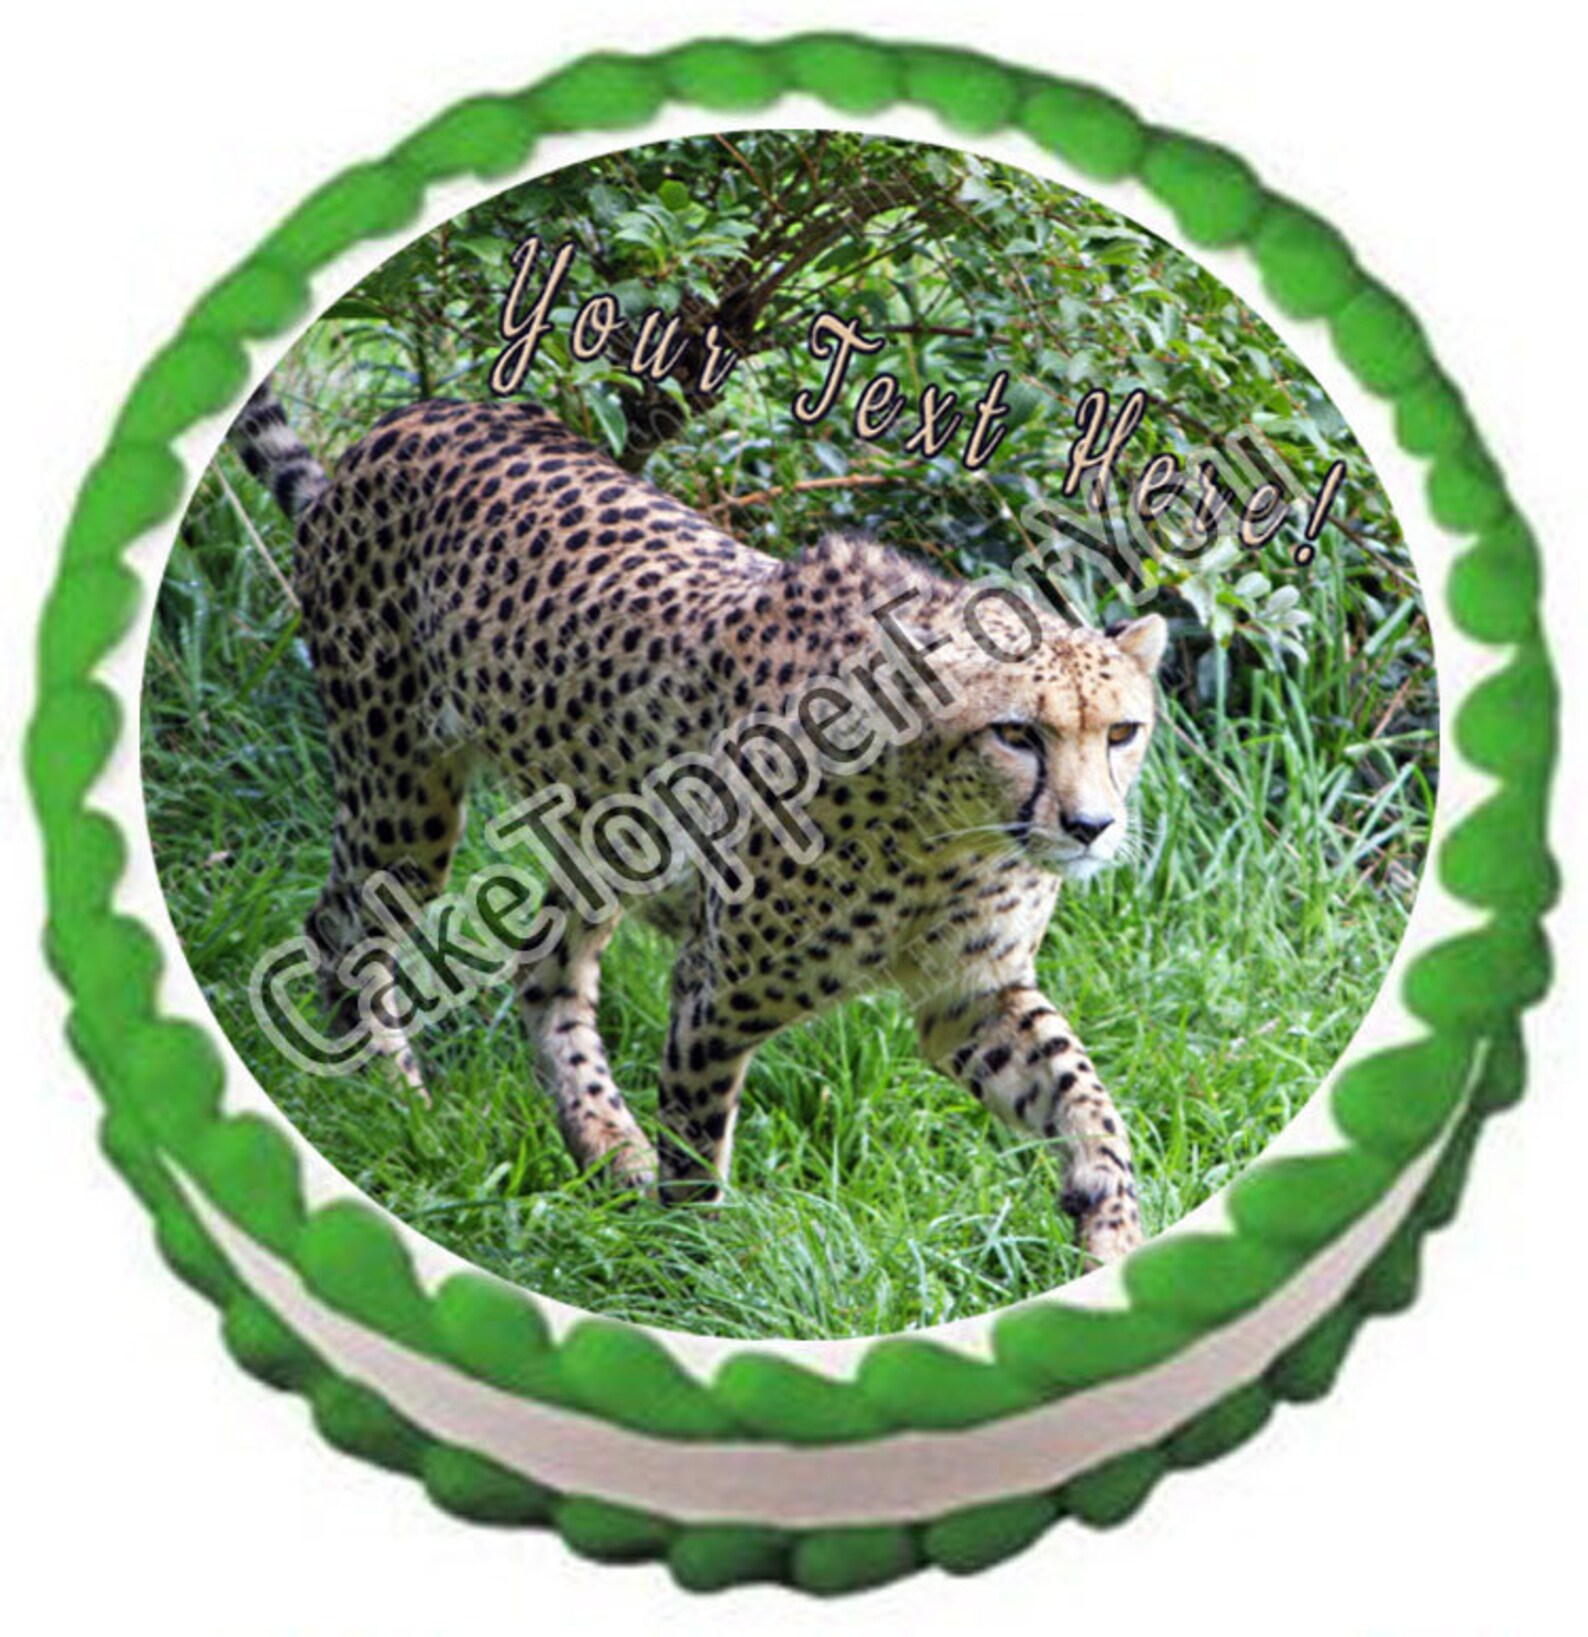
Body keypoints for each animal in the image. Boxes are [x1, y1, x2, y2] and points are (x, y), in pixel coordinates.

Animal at [228, 381, 1168, 1263]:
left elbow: (1084, 1090)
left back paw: (607, 1142)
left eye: (1122, 732)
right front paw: (692, 1266)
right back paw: (387, 1090)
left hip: (600, 832)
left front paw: (1111, 1220)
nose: (1090, 826)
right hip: (402, 796)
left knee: (543, 969)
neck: (950, 837)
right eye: (1017, 734)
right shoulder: (717, 992)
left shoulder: (968, 995)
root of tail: (399, 428)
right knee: (338, 925)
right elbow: (697, 1137)